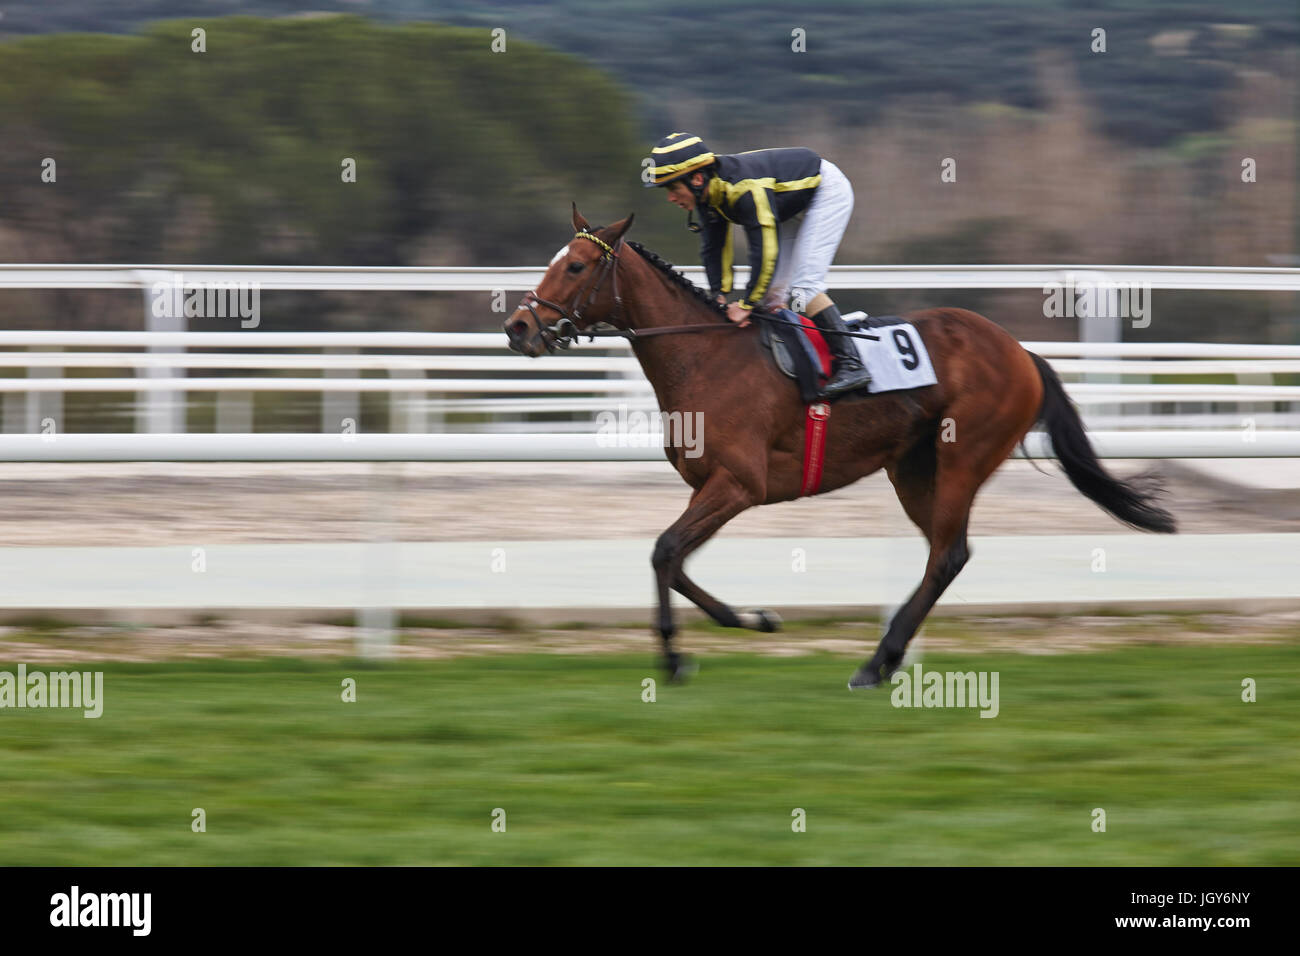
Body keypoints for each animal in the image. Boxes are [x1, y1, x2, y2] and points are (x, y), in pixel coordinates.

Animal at [504, 206, 1177, 688]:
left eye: (576, 266)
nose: (518, 327)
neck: (705, 355)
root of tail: (1022, 351)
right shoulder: (710, 487)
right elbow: (676, 561)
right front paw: (751, 619)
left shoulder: (739, 484)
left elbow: (664, 550)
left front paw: (673, 659)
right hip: (912, 468)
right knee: (943, 552)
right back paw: (885, 657)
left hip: (963, 455)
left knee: (948, 554)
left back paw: (877, 663)